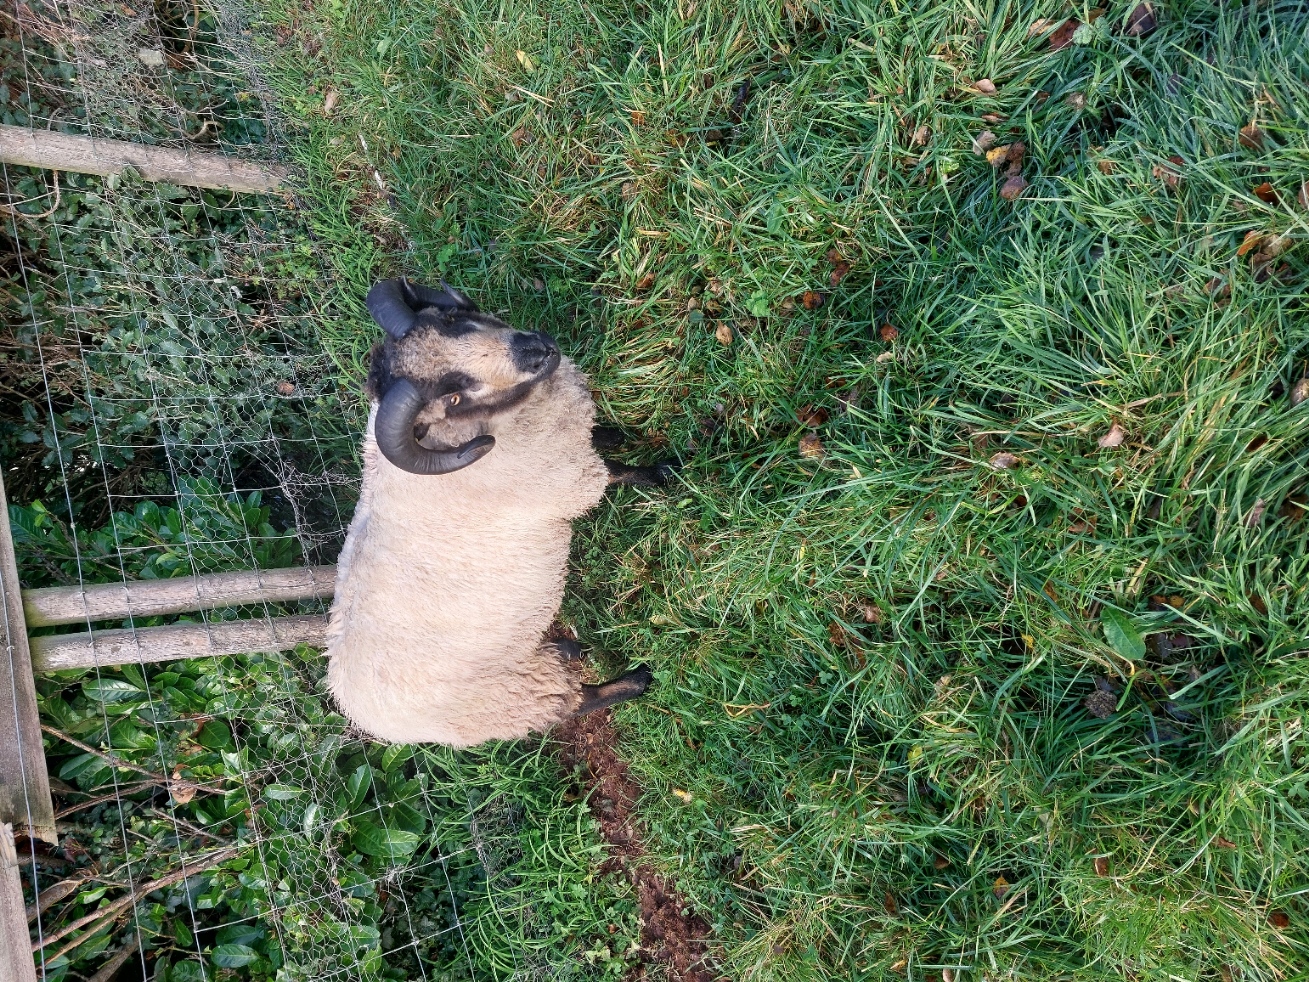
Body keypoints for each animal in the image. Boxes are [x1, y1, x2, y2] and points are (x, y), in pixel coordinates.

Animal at [325, 278, 669, 747]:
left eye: (452, 322)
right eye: (454, 396)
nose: (535, 350)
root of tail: (354, 710)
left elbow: (600, 439)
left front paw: (613, 434)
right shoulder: (570, 479)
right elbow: (617, 473)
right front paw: (661, 474)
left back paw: (572, 649)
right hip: (513, 697)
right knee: (575, 702)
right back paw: (637, 679)